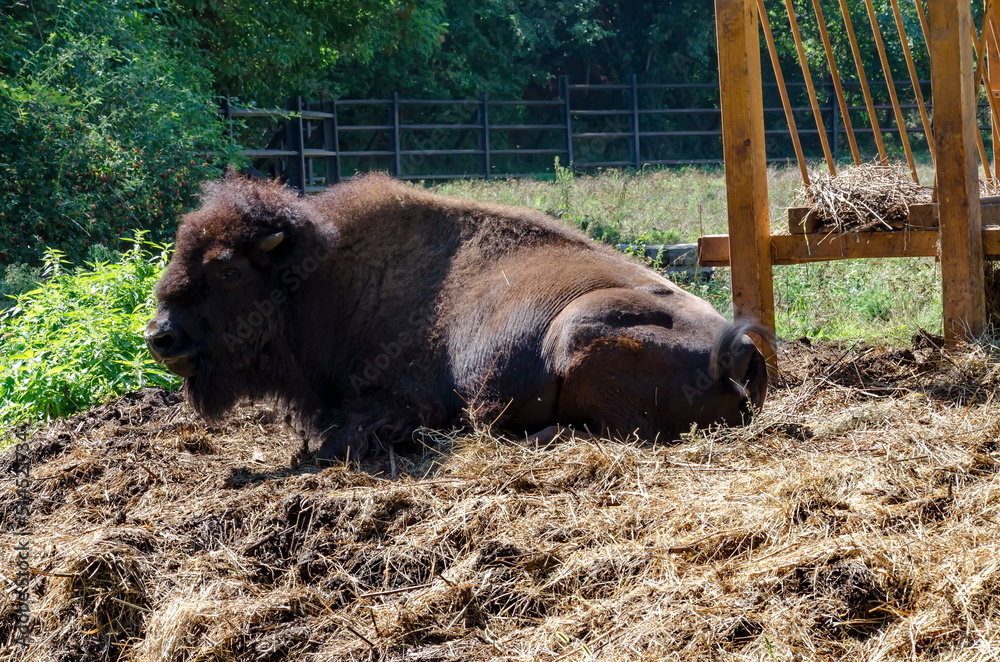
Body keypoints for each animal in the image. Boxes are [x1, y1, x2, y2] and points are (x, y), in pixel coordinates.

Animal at [145, 174, 768, 461]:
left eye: (227, 270)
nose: (159, 336)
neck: (320, 277)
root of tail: (735, 349)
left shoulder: (397, 402)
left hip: (578, 332)